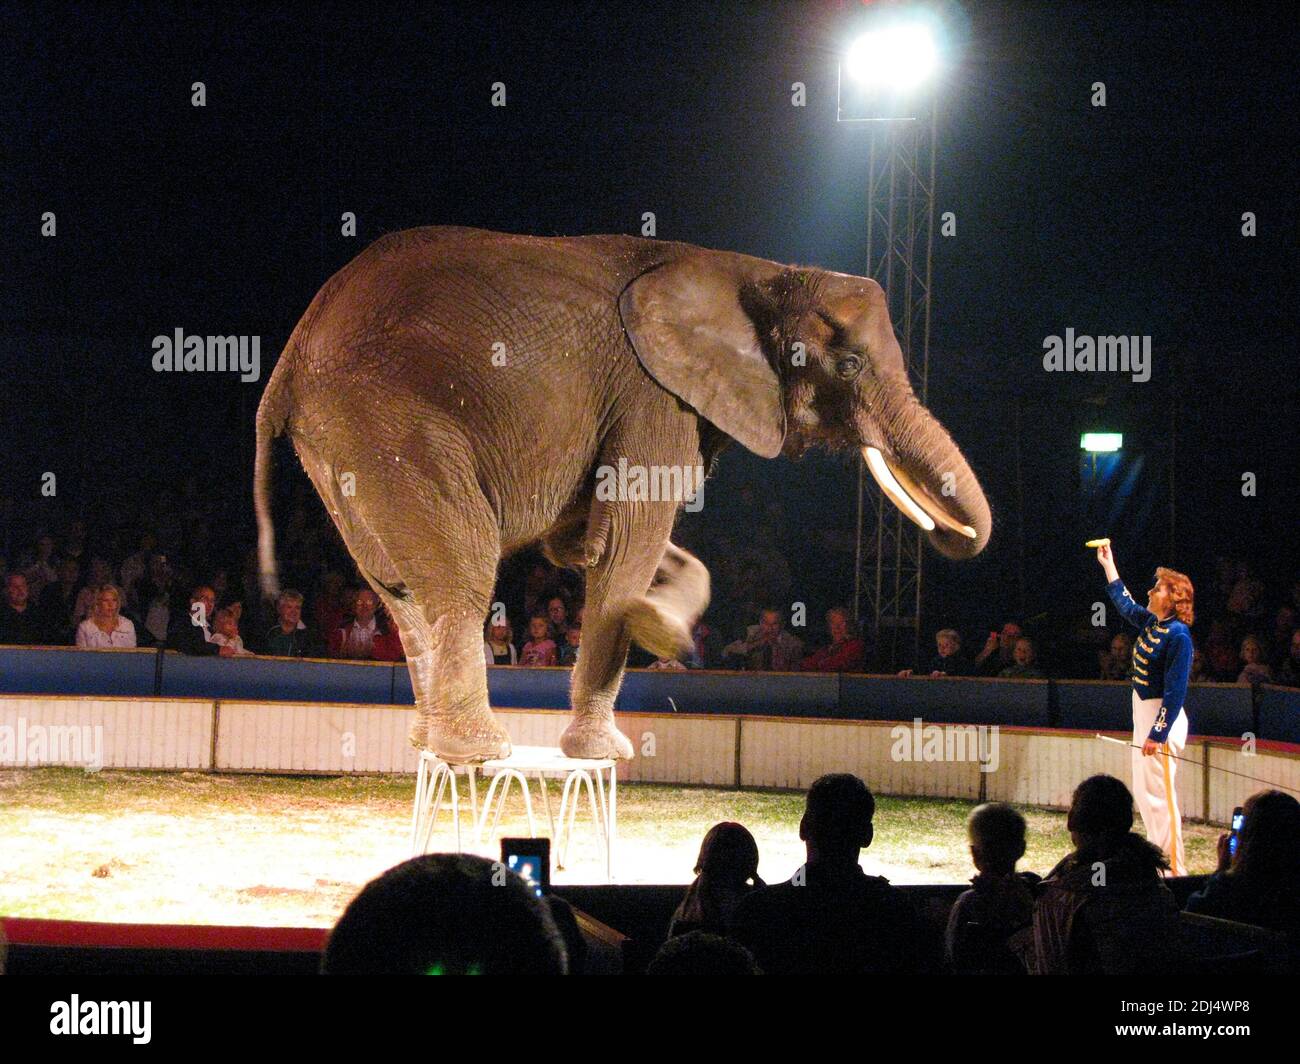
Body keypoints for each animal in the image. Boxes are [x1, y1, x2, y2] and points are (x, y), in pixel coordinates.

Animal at [254, 226, 990, 763]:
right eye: (849, 364)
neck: (756, 272)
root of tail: (288, 361)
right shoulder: (652, 395)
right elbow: (628, 536)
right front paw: (603, 749)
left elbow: (593, 540)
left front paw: (659, 620)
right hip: (385, 420)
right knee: (463, 569)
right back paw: (478, 751)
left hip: (342, 448)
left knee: (398, 589)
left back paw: (427, 743)